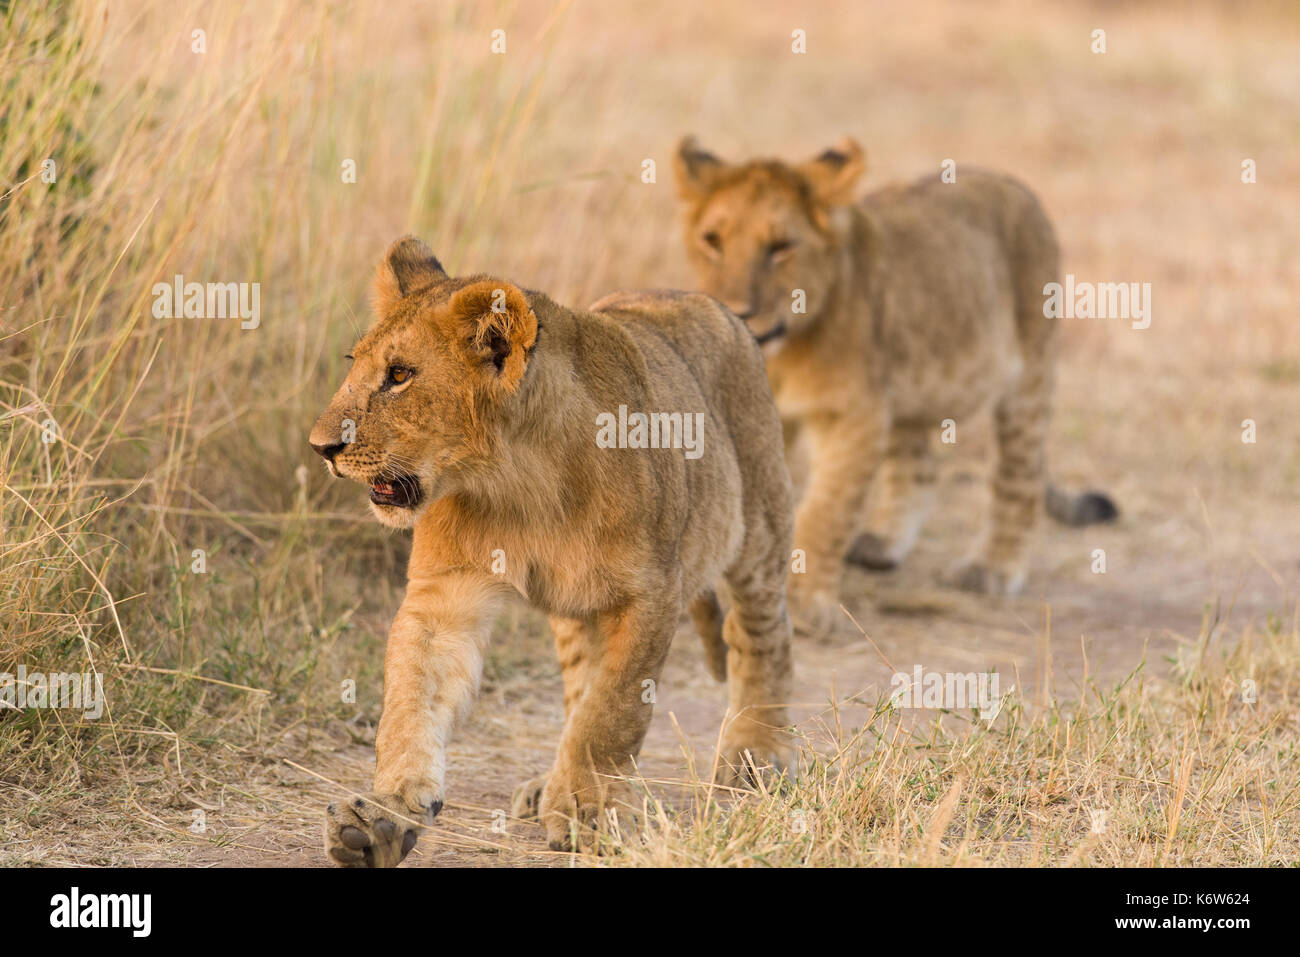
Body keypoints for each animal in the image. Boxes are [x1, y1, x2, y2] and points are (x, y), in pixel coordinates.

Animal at [308, 237, 794, 865]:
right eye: (356, 365)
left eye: (399, 375)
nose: (320, 446)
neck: (517, 479)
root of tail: (706, 303)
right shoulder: (445, 593)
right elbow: (410, 704)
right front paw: (383, 814)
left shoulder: (651, 593)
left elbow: (612, 712)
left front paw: (589, 812)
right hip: (573, 606)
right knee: (579, 679)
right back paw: (546, 784)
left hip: (758, 531)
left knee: (761, 638)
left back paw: (755, 757)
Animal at [674, 137, 1117, 637]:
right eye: (712, 241)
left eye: (781, 247)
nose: (736, 311)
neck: (783, 354)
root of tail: (1012, 183)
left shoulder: (853, 412)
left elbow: (827, 508)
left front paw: (804, 605)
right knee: (920, 468)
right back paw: (883, 544)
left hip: (1029, 377)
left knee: (1019, 477)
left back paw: (992, 568)